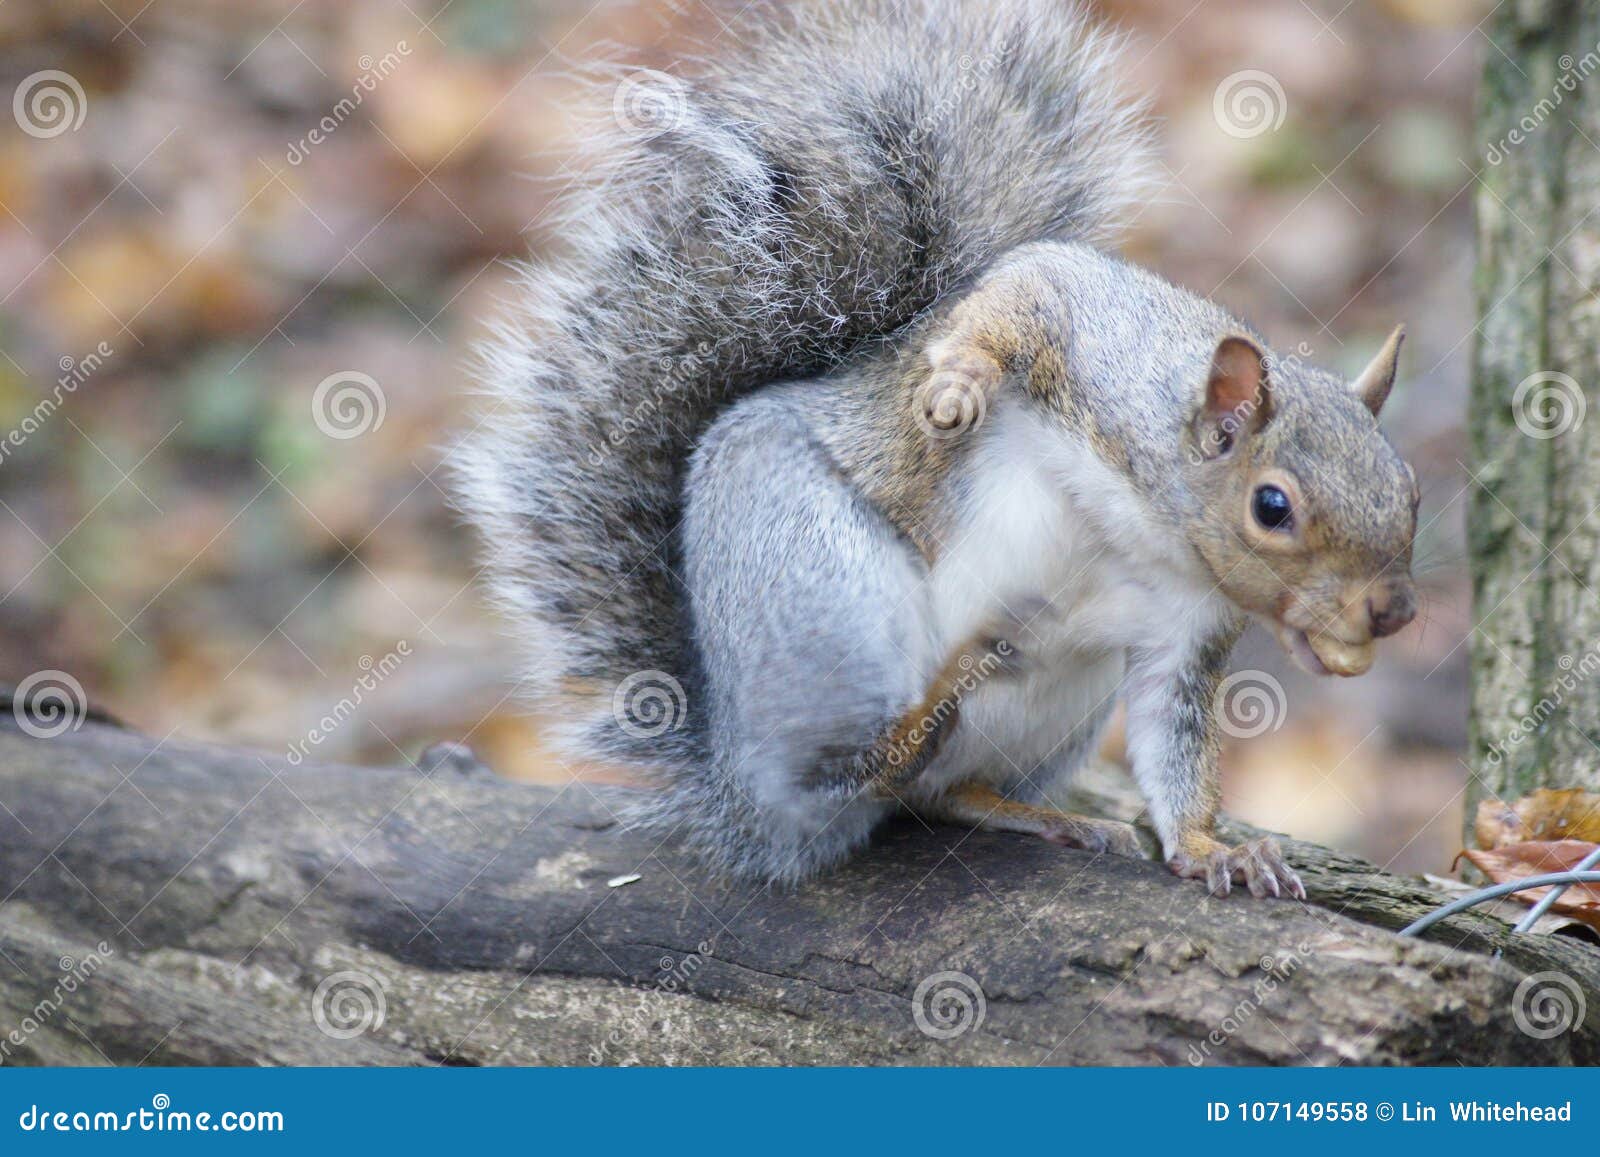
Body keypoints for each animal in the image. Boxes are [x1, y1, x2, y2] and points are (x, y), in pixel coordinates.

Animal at [454, 0, 1419, 899]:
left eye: (1410, 490)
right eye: (1272, 506)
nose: (1391, 612)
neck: (1150, 531)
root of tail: (730, 786)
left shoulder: (1181, 639)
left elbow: (1174, 746)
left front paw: (1213, 849)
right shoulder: (1083, 328)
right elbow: (1015, 294)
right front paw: (957, 382)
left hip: (1066, 698)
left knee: (934, 797)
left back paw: (1028, 809)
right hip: (824, 589)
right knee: (841, 777)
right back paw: (902, 734)